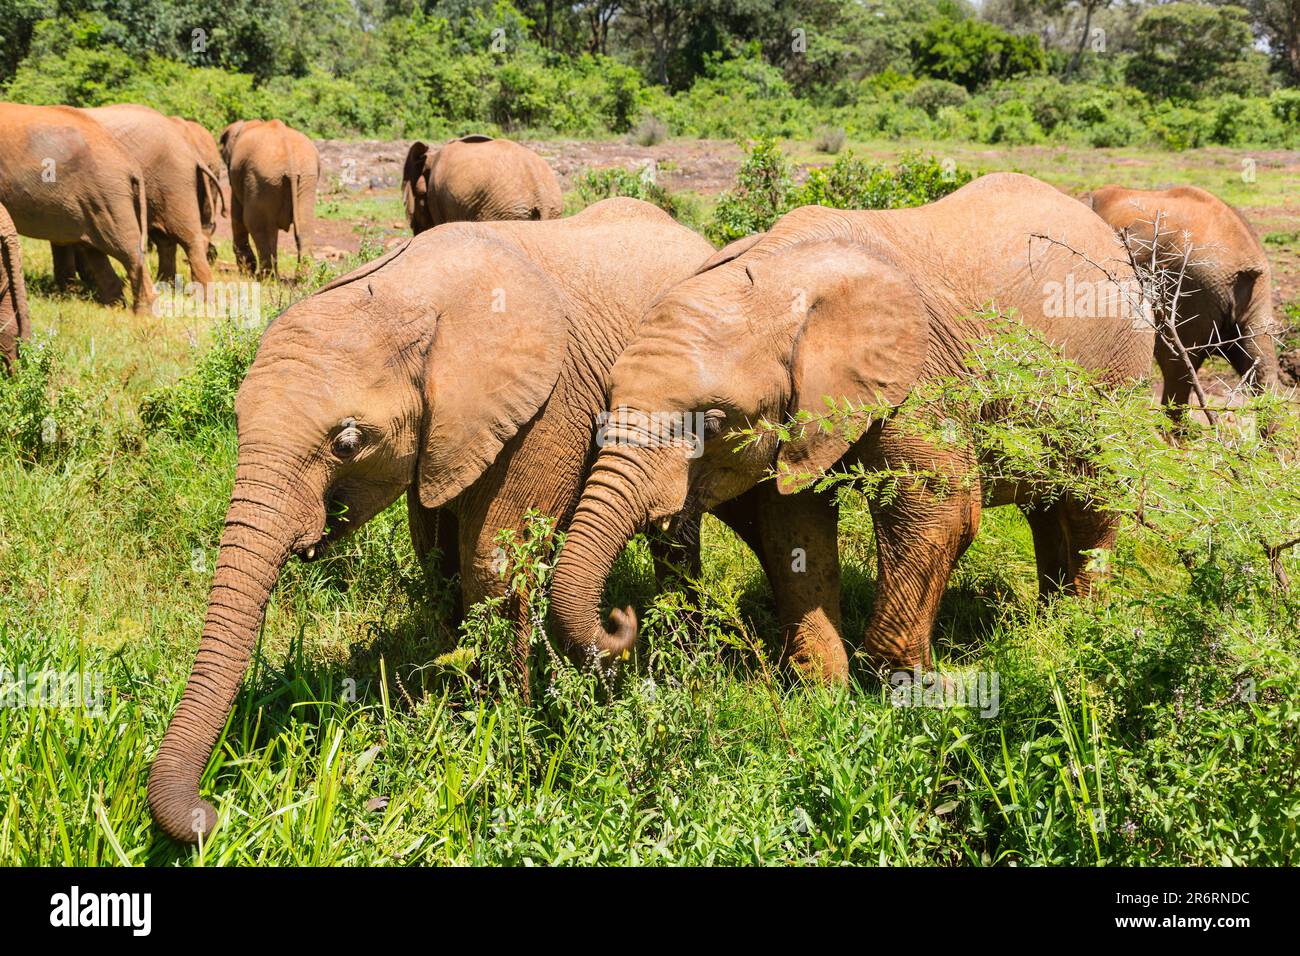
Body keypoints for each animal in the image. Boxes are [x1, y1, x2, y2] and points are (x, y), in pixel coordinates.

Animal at [0, 102, 154, 313]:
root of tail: (131, 164)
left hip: (109, 196)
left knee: (128, 251)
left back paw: (143, 314)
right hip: (95, 200)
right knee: (95, 252)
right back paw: (112, 308)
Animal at [49, 104, 222, 299]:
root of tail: (190, 150)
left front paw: (69, 291)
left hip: (172, 180)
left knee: (185, 235)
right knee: (165, 238)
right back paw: (166, 285)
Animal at [146, 198, 713, 843]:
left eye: (347, 442)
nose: (212, 812)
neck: (403, 295)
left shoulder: (549, 404)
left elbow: (492, 561)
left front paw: (504, 738)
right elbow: (437, 557)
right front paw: (454, 701)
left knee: (673, 538)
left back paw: (686, 659)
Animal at [219, 119, 320, 277]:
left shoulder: (236, 176)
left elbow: (237, 215)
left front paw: (247, 271)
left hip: (262, 178)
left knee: (257, 224)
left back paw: (266, 278)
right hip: (306, 178)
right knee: (304, 227)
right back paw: (303, 278)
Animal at [549, 173, 1155, 684]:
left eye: (714, 423)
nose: (621, 618)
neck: (779, 276)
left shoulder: (921, 373)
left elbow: (939, 506)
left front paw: (905, 690)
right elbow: (792, 523)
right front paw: (822, 693)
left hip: (1117, 371)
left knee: (1093, 492)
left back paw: (1081, 625)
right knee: (1047, 501)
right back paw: (1048, 617)